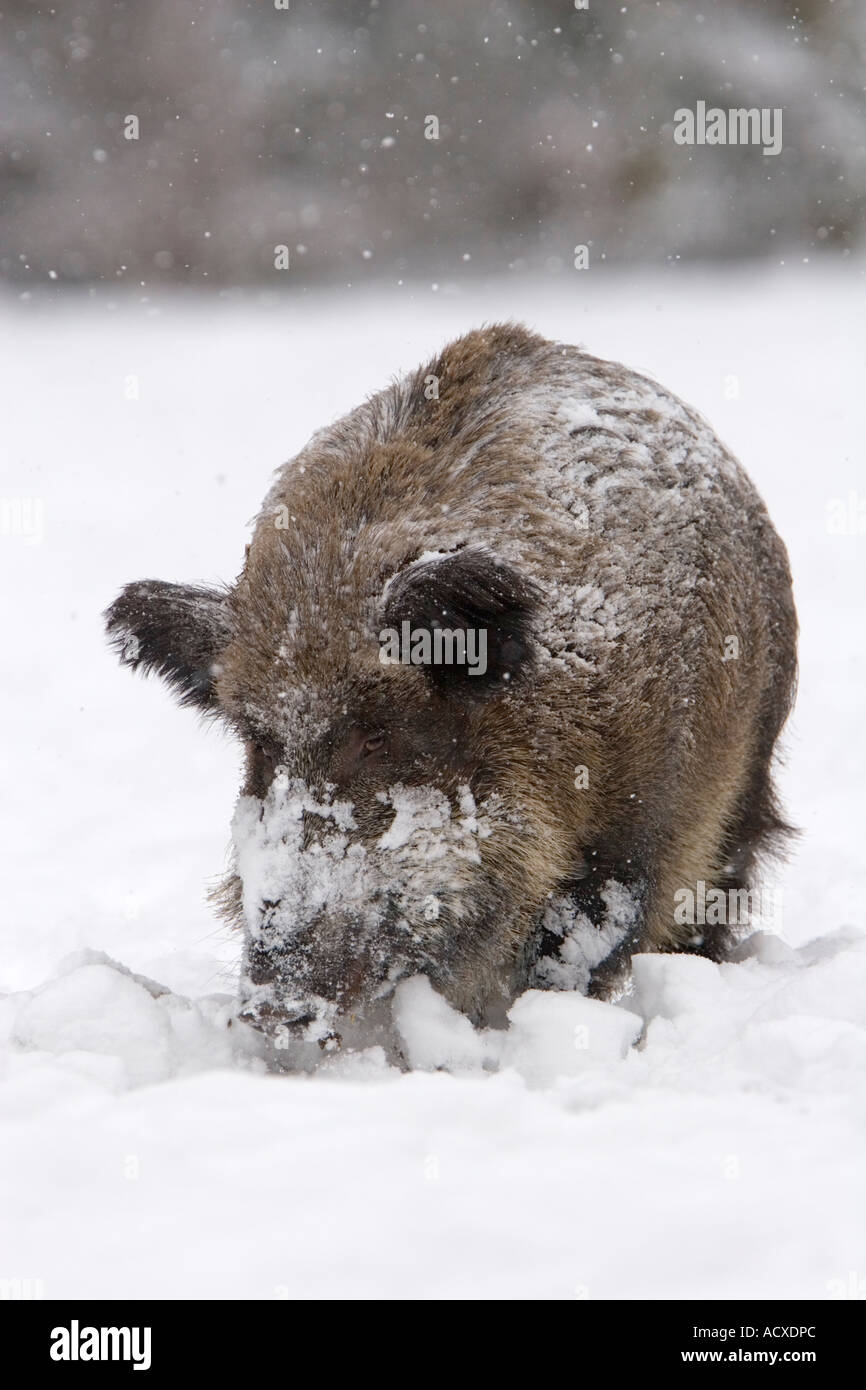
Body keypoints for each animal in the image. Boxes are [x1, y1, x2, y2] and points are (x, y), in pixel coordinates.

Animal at [105, 323, 797, 1055]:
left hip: (746, 784)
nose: (270, 1011)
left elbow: (573, 956)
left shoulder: (634, 837)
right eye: (260, 746)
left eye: (376, 738)